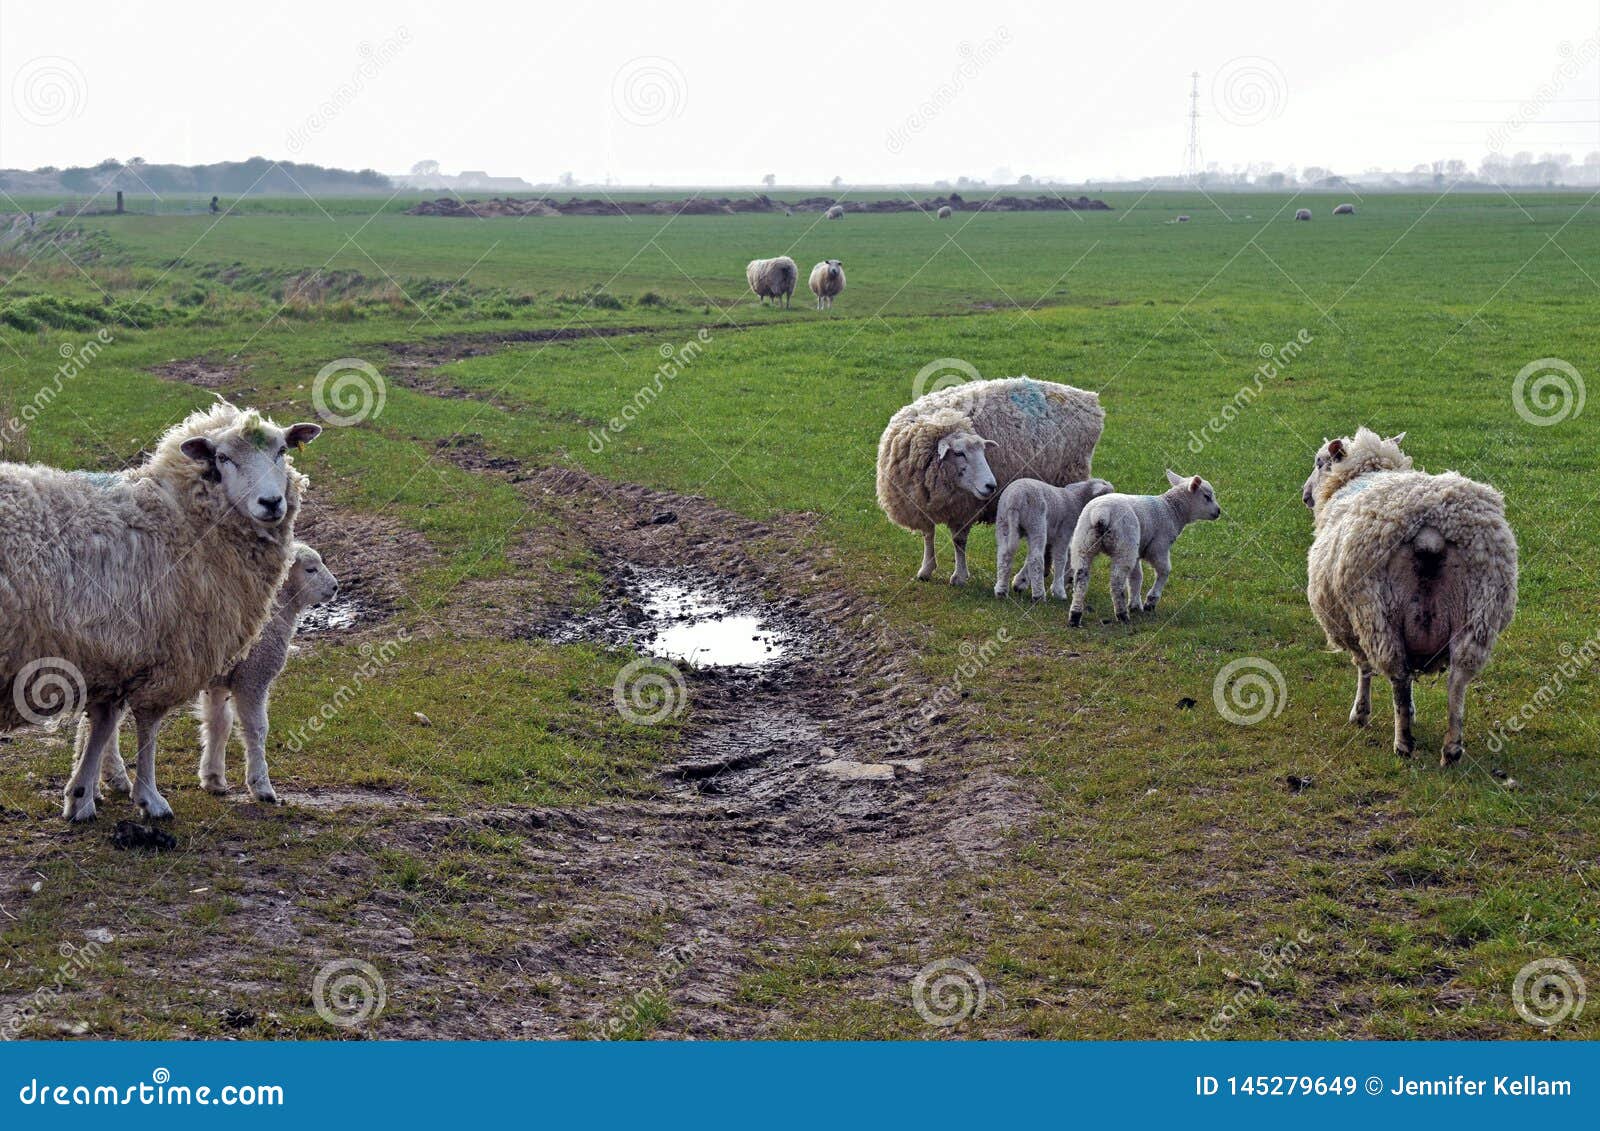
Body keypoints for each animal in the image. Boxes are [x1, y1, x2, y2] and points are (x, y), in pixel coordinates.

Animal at [90, 544, 339, 805]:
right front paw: (261, 787)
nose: (335, 587)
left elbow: (219, 724)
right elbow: (257, 728)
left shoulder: (219, 683)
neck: (275, 609)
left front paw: (213, 779)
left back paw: (108, 781)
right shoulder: (252, 676)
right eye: (310, 569)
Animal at [876, 376, 1105, 585]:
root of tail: (1089, 400)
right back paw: (1046, 569)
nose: (991, 486)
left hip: (1069, 476)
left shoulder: (965, 506)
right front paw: (926, 569)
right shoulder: (919, 502)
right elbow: (928, 534)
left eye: (983, 451)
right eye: (958, 453)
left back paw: (1064, 575)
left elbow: (958, 541)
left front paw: (959, 576)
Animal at [1067, 470, 1222, 626]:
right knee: (1116, 582)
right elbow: (1164, 571)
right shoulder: (1158, 547)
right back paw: (1122, 615)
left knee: (1081, 578)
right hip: (1125, 544)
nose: (1218, 511)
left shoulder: (1137, 551)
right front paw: (1150, 603)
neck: (1171, 510)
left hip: (1084, 542)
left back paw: (1075, 616)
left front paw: (1135, 605)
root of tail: (1101, 513)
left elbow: (1136, 577)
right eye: (1207, 496)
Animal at [1301, 428, 1517, 765]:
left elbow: (1364, 669)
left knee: (1399, 676)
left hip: (1376, 612)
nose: (1305, 495)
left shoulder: (1351, 625)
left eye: (1320, 461)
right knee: (1458, 680)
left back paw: (1402, 743)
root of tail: (1430, 531)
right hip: (1479, 610)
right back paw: (1452, 749)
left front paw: (1360, 713)